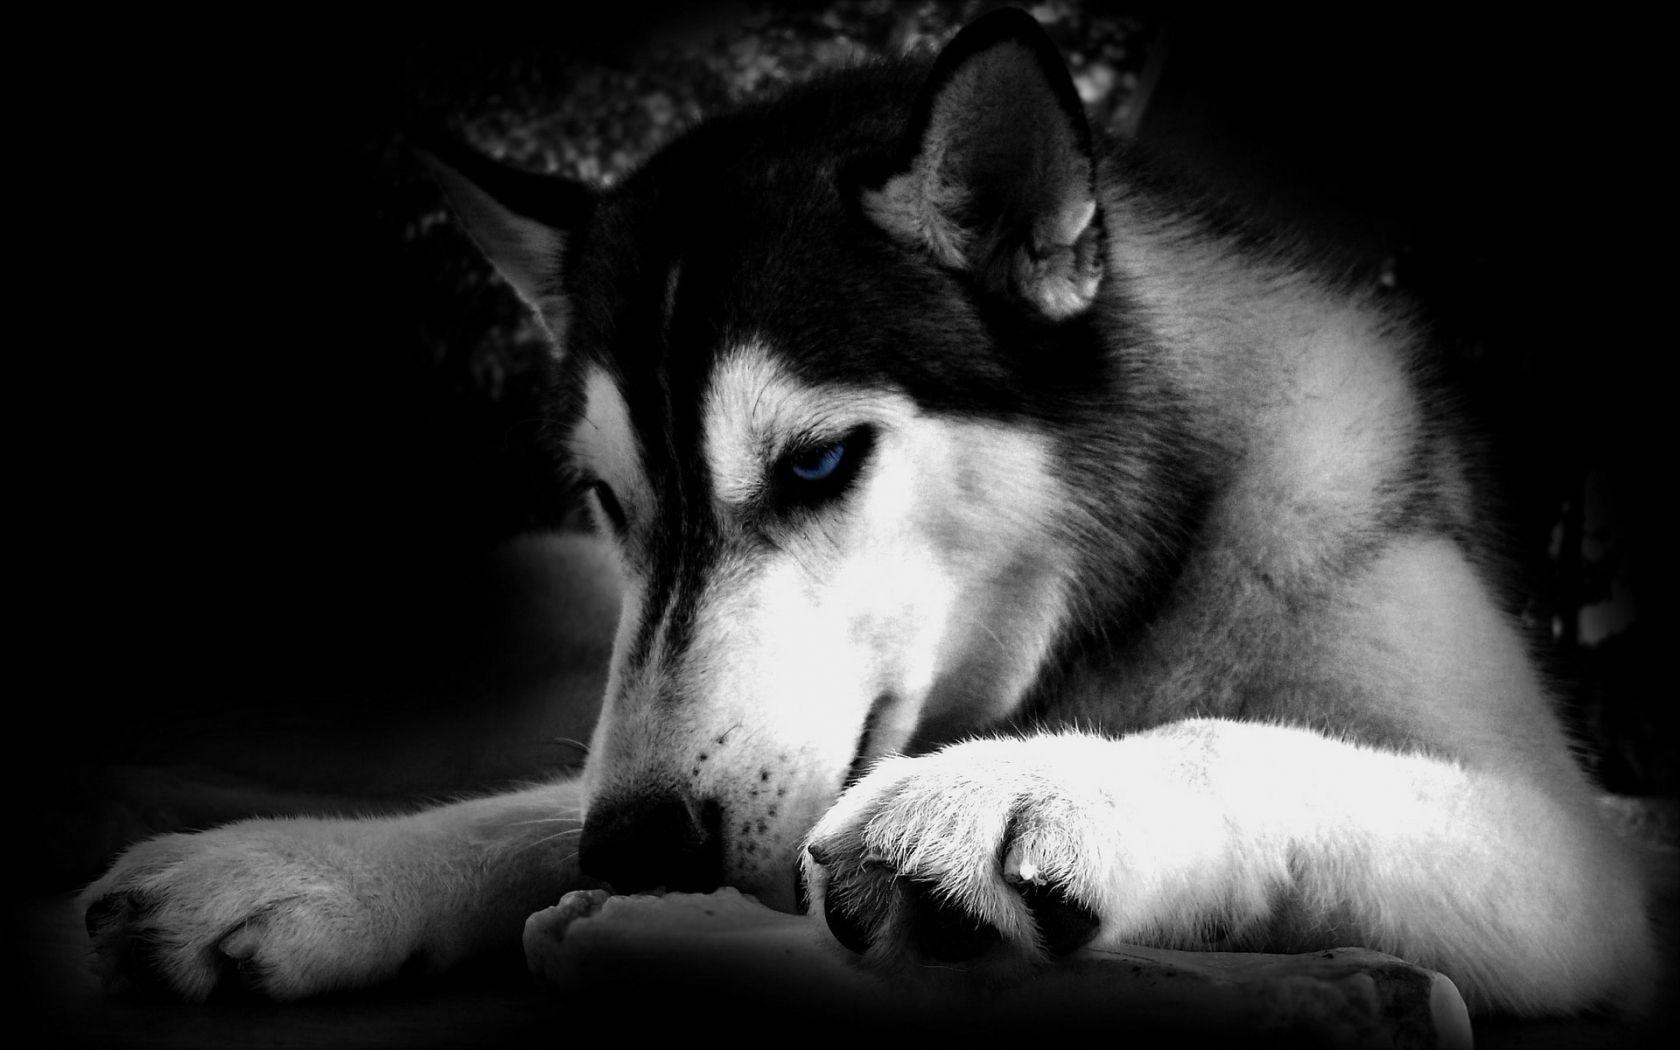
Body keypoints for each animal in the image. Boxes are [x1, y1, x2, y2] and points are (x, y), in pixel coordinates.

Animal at [82, 8, 1656, 1020]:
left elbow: (1256, 745)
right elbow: (540, 805)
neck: (1124, 600)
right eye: (610, 497)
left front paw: (1043, 792)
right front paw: (307, 861)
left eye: (819, 462)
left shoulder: (1578, 859)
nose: (638, 855)